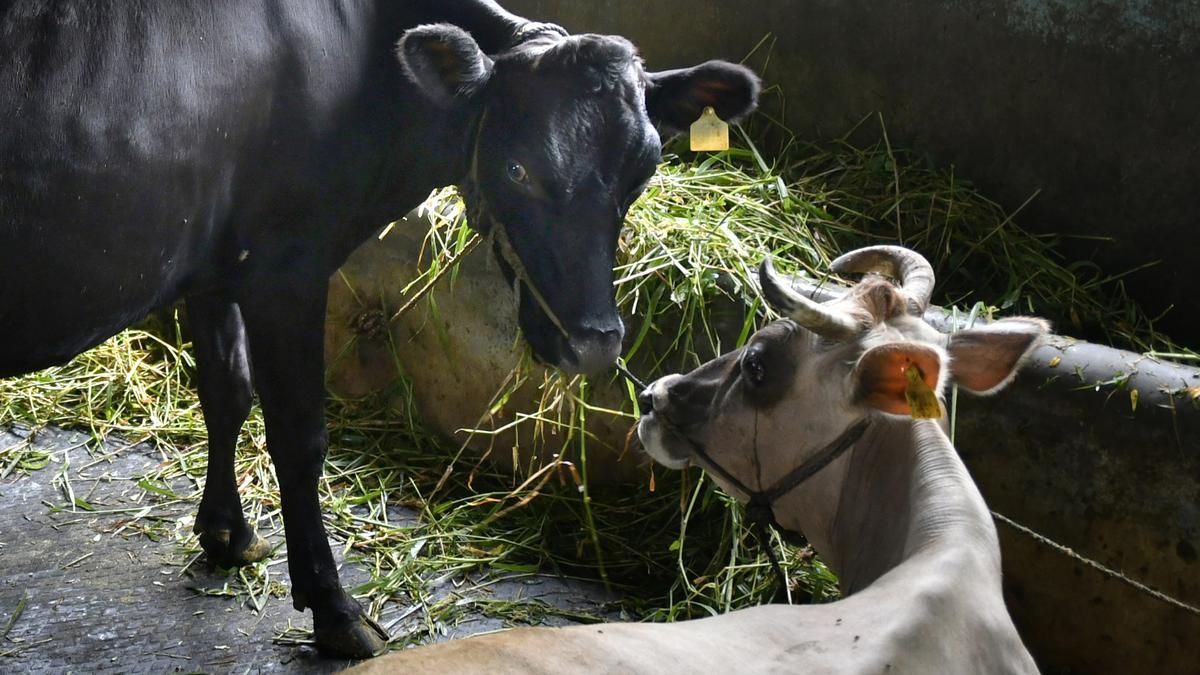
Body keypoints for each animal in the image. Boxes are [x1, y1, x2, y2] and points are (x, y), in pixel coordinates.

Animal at [0, 0, 759, 658]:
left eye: (643, 169)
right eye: (519, 168)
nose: (593, 341)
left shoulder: (213, 258)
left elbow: (226, 390)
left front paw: (227, 534)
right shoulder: (287, 264)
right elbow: (299, 437)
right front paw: (335, 612)